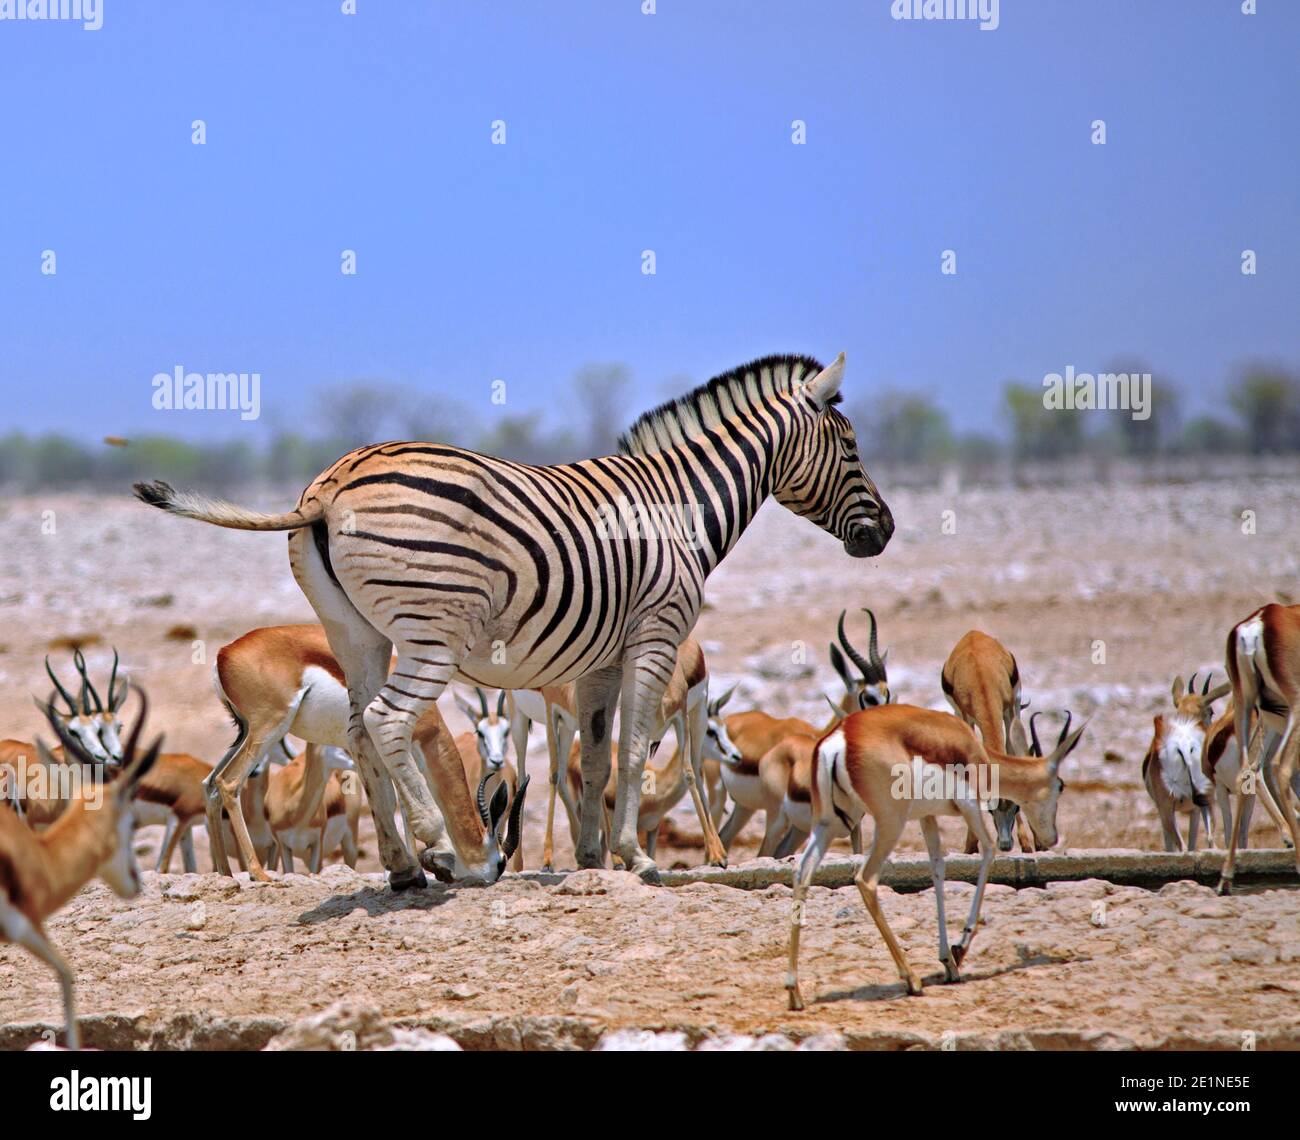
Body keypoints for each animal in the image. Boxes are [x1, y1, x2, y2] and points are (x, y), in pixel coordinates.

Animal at [207, 625, 526, 884]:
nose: (494, 876)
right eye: (500, 863)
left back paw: (225, 875)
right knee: (228, 783)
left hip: (244, 734)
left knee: (210, 784)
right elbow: (404, 808)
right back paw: (258, 874)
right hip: (268, 728)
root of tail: (224, 653)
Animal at [785, 704, 1083, 1011]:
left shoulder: (926, 816)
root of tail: (841, 737)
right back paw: (911, 979)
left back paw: (795, 992)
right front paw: (960, 948)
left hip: (828, 824)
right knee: (865, 879)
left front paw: (948, 962)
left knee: (802, 873)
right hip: (889, 822)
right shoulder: (970, 804)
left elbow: (938, 870)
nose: (1051, 838)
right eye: (1061, 786)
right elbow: (989, 851)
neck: (975, 750)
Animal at [941, 630, 1033, 852]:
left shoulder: (1010, 710)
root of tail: (973, 633)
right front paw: (971, 846)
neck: (980, 675)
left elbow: (1013, 754)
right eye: (990, 809)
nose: (1005, 845)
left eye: (1016, 807)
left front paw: (1028, 844)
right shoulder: (965, 717)